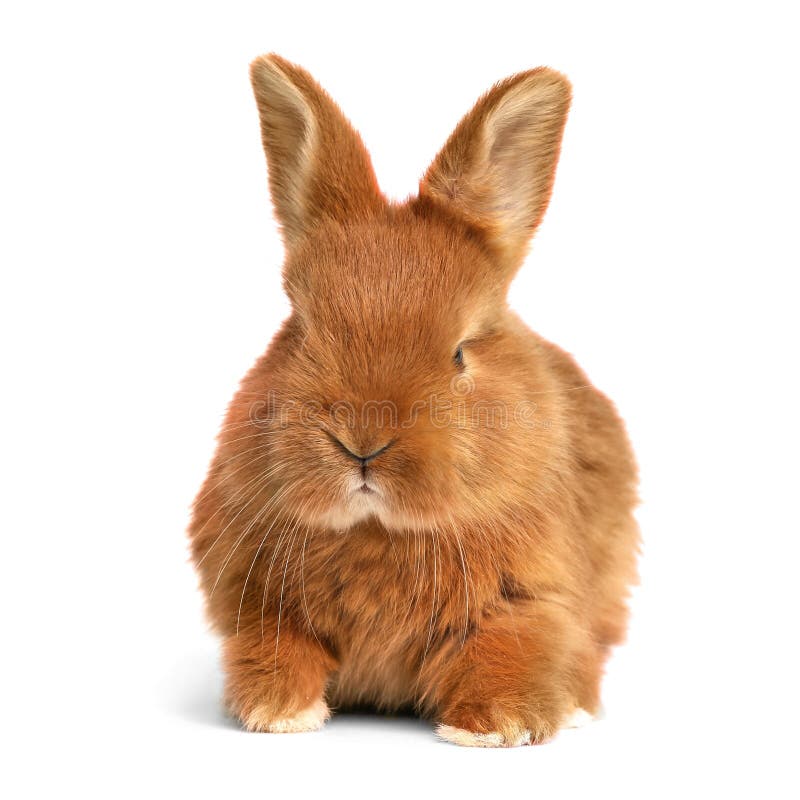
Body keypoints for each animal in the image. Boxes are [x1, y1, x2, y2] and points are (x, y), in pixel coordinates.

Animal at [188, 53, 640, 747]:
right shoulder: (255, 602)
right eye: (299, 329)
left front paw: (494, 728)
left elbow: (511, 652)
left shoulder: (532, 601)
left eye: (459, 353)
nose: (361, 444)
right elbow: (275, 652)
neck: (378, 530)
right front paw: (279, 713)